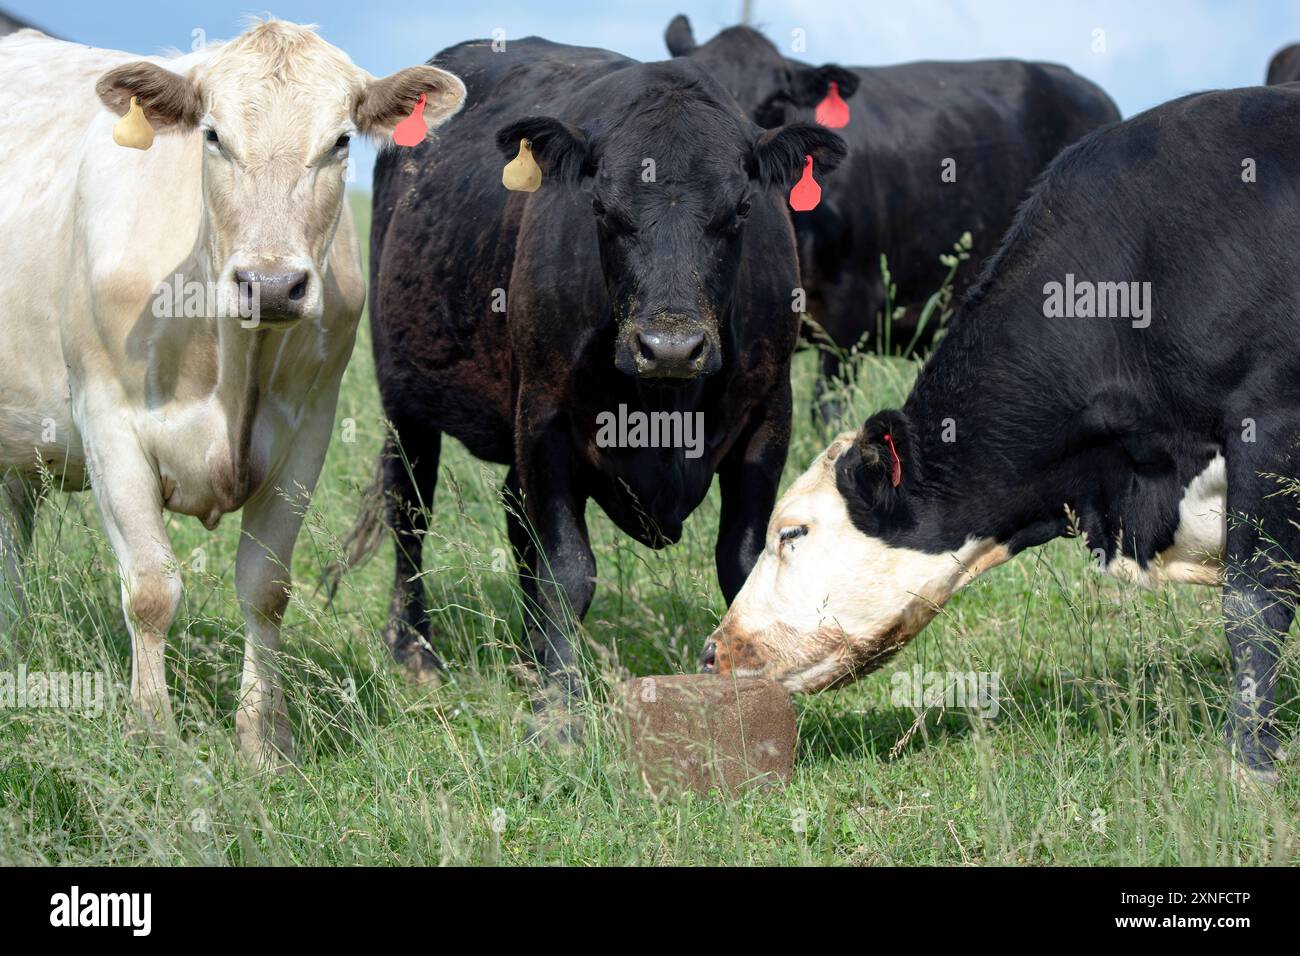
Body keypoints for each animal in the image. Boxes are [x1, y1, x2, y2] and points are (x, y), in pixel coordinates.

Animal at [0, 21, 466, 769]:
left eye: (340, 141)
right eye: (213, 135)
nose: (271, 284)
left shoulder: (308, 435)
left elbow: (266, 590)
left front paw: (264, 738)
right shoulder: (108, 425)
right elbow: (152, 590)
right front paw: (153, 734)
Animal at [339, 37, 844, 731]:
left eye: (743, 208)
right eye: (602, 208)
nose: (670, 347)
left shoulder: (769, 421)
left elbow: (740, 565)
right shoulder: (545, 421)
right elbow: (567, 569)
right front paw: (560, 711)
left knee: (510, 516)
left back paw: (526, 658)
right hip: (404, 399)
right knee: (410, 513)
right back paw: (414, 651)